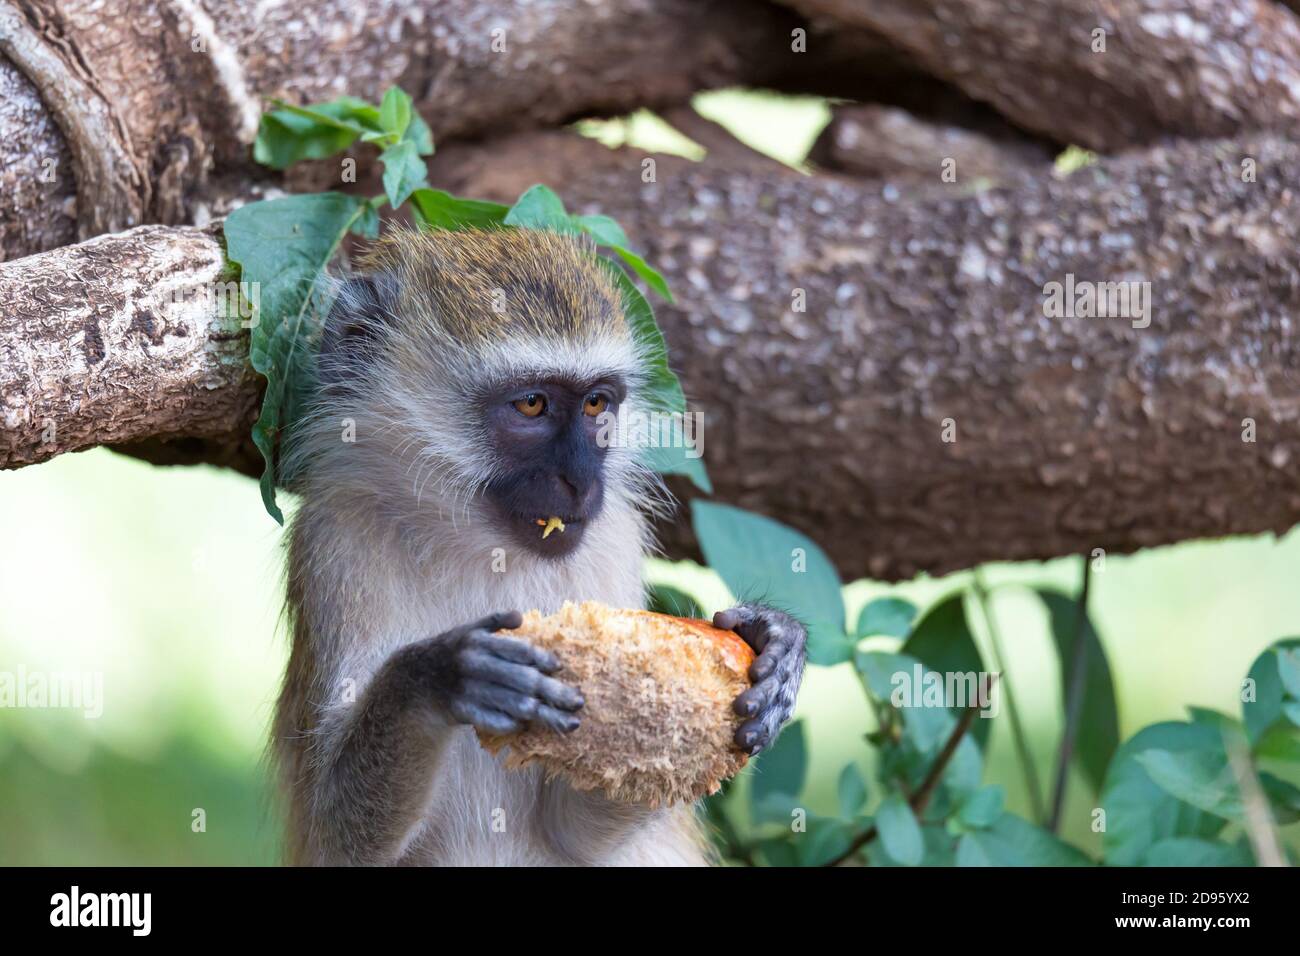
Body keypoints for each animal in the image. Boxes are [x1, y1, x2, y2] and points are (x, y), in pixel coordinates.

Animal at [272, 227, 807, 866]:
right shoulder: (336, 535)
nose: (581, 479)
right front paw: (439, 674)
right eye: (532, 404)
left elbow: (579, 821)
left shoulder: (613, 539)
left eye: (597, 403)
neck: (477, 547)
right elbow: (334, 840)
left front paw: (772, 644)